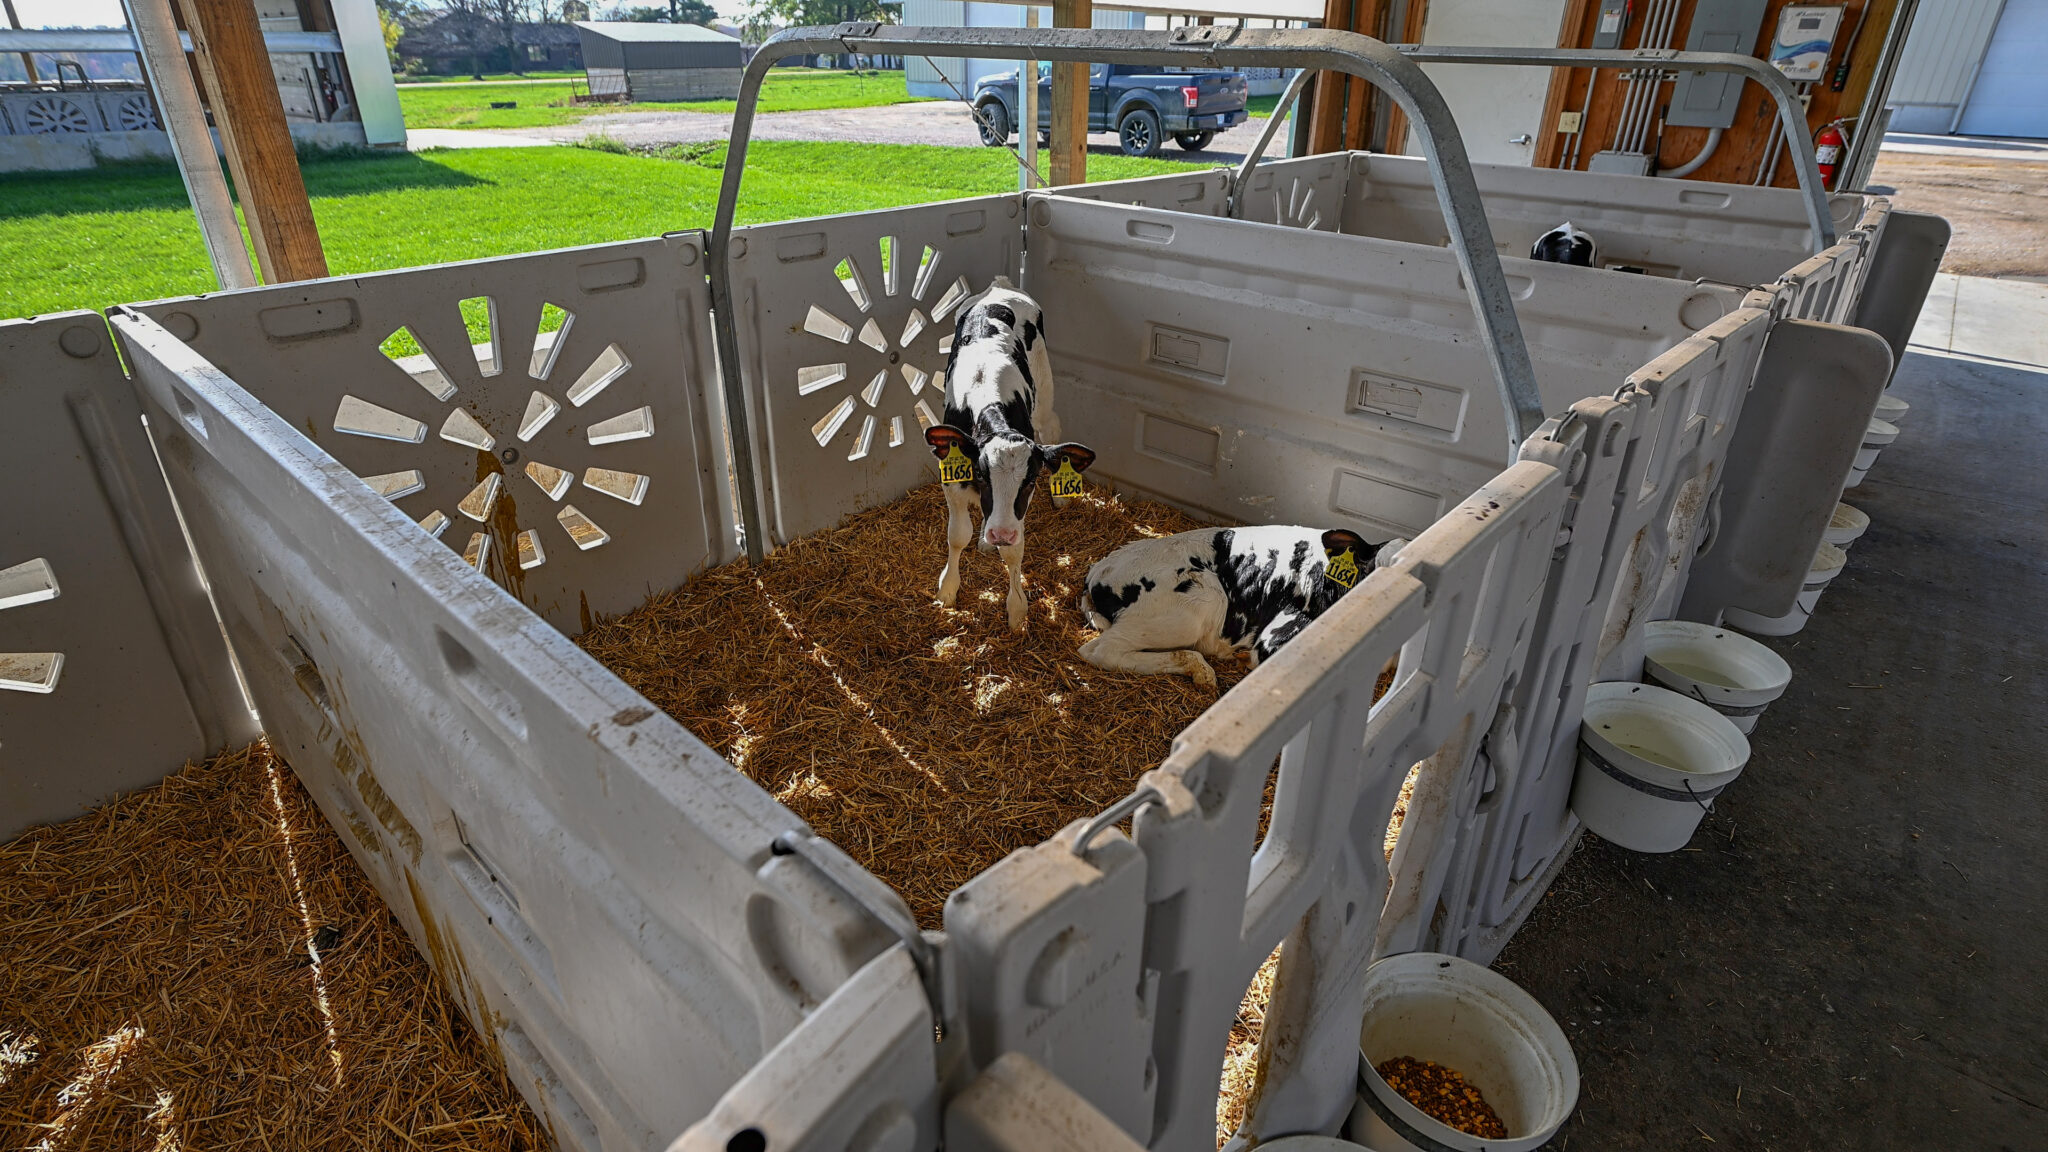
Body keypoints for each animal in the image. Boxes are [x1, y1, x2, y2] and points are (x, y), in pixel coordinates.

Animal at [924, 277, 1095, 632]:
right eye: (981, 475)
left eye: (1030, 482)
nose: (1000, 533)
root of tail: (999, 286)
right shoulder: (952, 477)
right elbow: (957, 536)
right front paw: (947, 589)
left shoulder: (1018, 513)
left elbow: (1014, 552)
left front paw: (1016, 610)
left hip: (1044, 387)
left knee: (1052, 426)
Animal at [1078, 525, 1403, 688]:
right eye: (1371, 572)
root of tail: (1100, 569)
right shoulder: (1274, 639)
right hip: (1200, 600)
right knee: (1100, 650)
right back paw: (1203, 671)